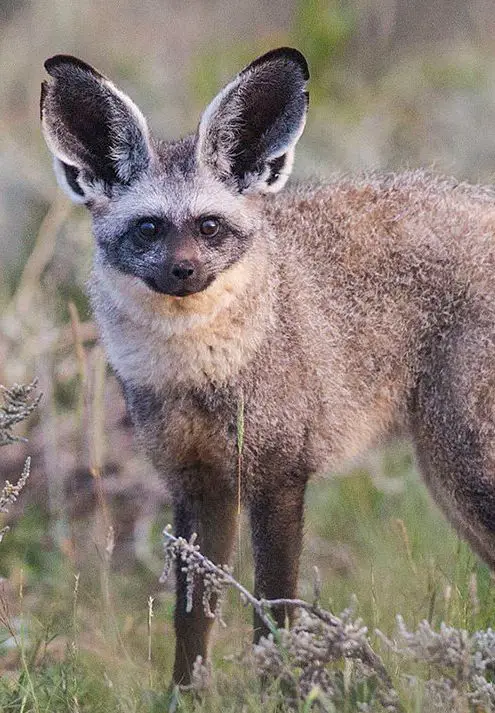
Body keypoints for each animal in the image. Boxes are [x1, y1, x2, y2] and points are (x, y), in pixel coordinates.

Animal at [40, 47, 495, 686]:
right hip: (449, 483)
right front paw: (186, 694)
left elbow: (275, 616)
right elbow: (192, 622)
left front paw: (281, 690)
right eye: (148, 228)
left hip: (463, 470)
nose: (183, 272)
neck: (197, 375)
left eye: (209, 226)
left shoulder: (279, 475)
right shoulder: (198, 483)